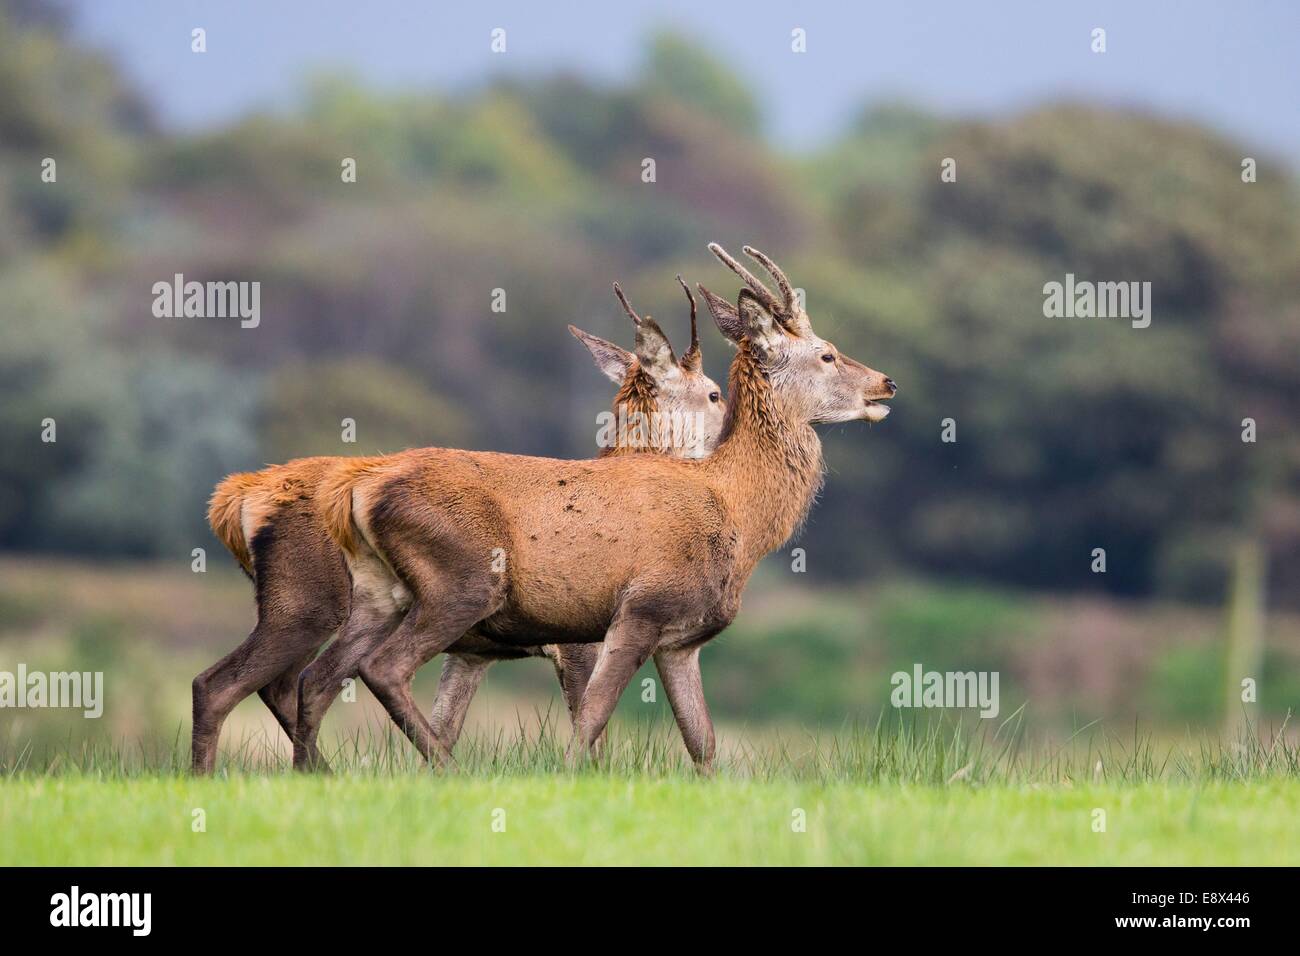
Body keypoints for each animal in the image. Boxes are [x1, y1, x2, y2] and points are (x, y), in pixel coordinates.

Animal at [193, 278, 725, 774]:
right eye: (715, 393)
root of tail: (232, 499)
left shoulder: (474, 653)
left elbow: (447, 723)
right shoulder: (578, 642)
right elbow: (592, 733)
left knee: (280, 685)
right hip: (306, 601)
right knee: (223, 684)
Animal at [312, 244, 896, 771]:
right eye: (827, 353)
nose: (886, 382)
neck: (737, 512)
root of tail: (358, 492)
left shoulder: (681, 641)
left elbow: (703, 745)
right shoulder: (640, 608)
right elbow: (590, 723)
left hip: (380, 597)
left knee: (315, 683)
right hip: (462, 583)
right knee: (381, 669)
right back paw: (448, 771)